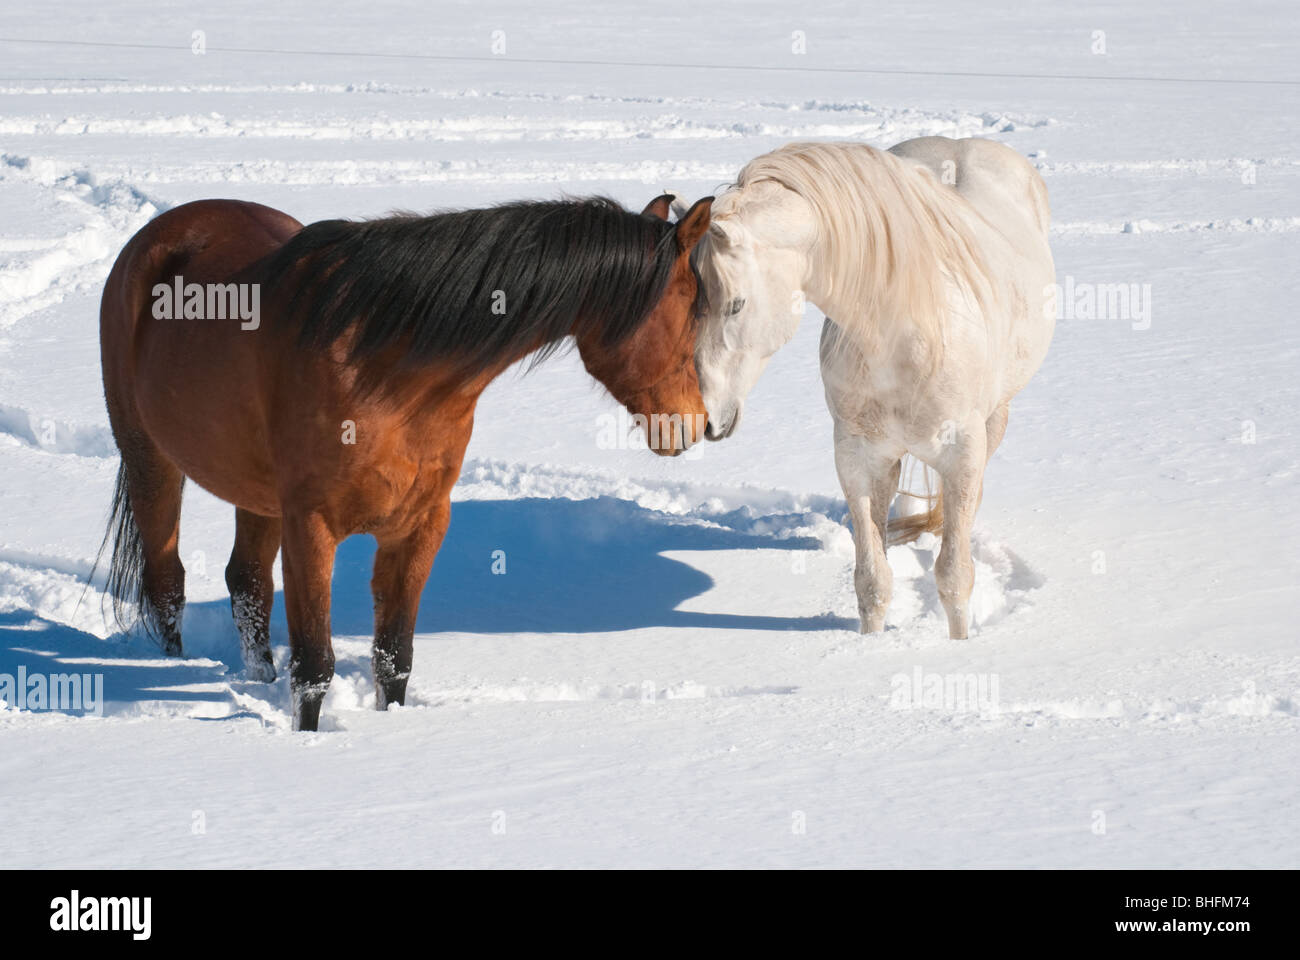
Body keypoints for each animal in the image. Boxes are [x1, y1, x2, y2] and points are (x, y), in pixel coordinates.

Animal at [96, 192, 714, 730]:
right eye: (692, 308)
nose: (696, 424)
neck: (382, 364)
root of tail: (159, 236)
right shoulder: (311, 528)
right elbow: (314, 668)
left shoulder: (419, 525)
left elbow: (394, 660)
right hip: (151, 461)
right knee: (168, 582)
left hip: (257, 496)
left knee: (247, 585)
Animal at [686, 137, 1055, 639]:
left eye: (737, 304)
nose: (707, 416)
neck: (903, 334)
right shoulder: (857, 458)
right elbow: (872, 580)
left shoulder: (962, 455)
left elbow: (954, 577)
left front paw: (960, 645)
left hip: (996, 418)